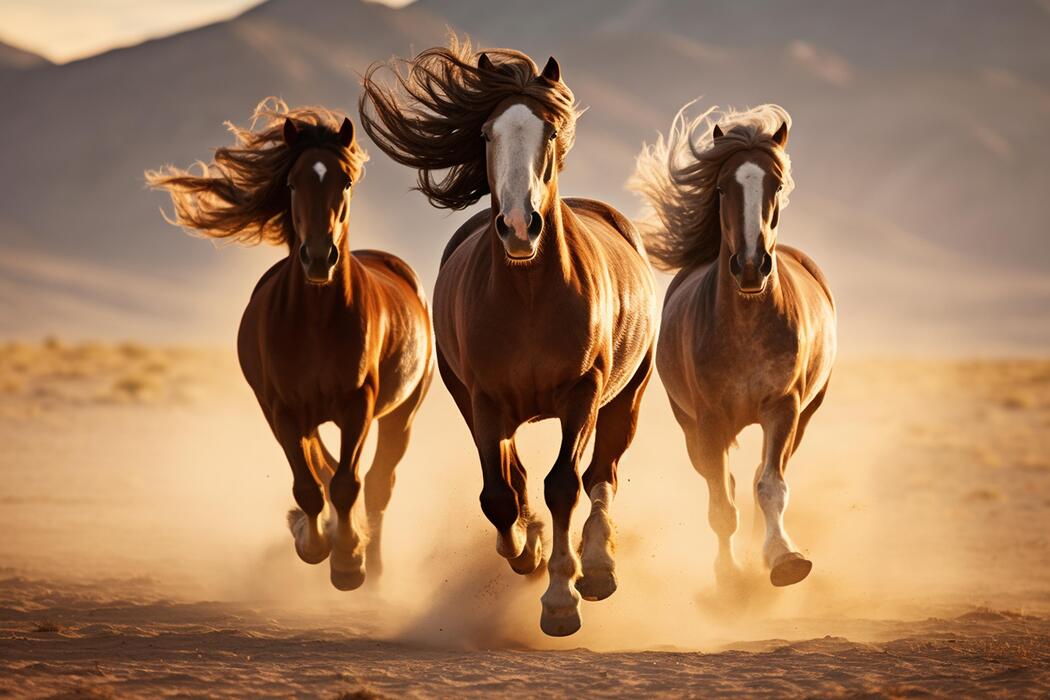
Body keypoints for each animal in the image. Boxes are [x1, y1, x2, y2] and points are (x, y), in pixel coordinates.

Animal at [146, 98, 434, 591]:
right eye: (293, 182)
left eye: (345, 180)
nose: (319, 257)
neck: (315, 321)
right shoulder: (284, 410)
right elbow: (310, 486)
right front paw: (314, 543)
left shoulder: (358, 405)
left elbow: (346, 484)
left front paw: (348, 563)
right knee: (325, 469)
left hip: (402, 413)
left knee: (378, 484)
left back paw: (374, 567)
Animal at [359, 38, 657, 636]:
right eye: (487, 133)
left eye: (551, 130)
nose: (521, 226)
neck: (529, 297)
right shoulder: (485, 400)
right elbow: (499, 494)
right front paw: (527, 551)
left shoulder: (582, 395)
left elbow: (564, 484)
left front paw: (561, 599)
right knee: (519, 477)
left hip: (627, 396)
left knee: (603, 473)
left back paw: (599, 566)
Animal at [630, 103, 836, 588]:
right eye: (723, 187)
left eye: (776, 184)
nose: (750, 267)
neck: (745, 328)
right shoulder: (707, 422)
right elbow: (722, 504)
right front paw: (728, 578)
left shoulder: (784, 407)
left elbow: (771, 486)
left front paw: (784, 559)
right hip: (690, 425)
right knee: (724, 486)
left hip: (803, 417)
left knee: (764, 474)